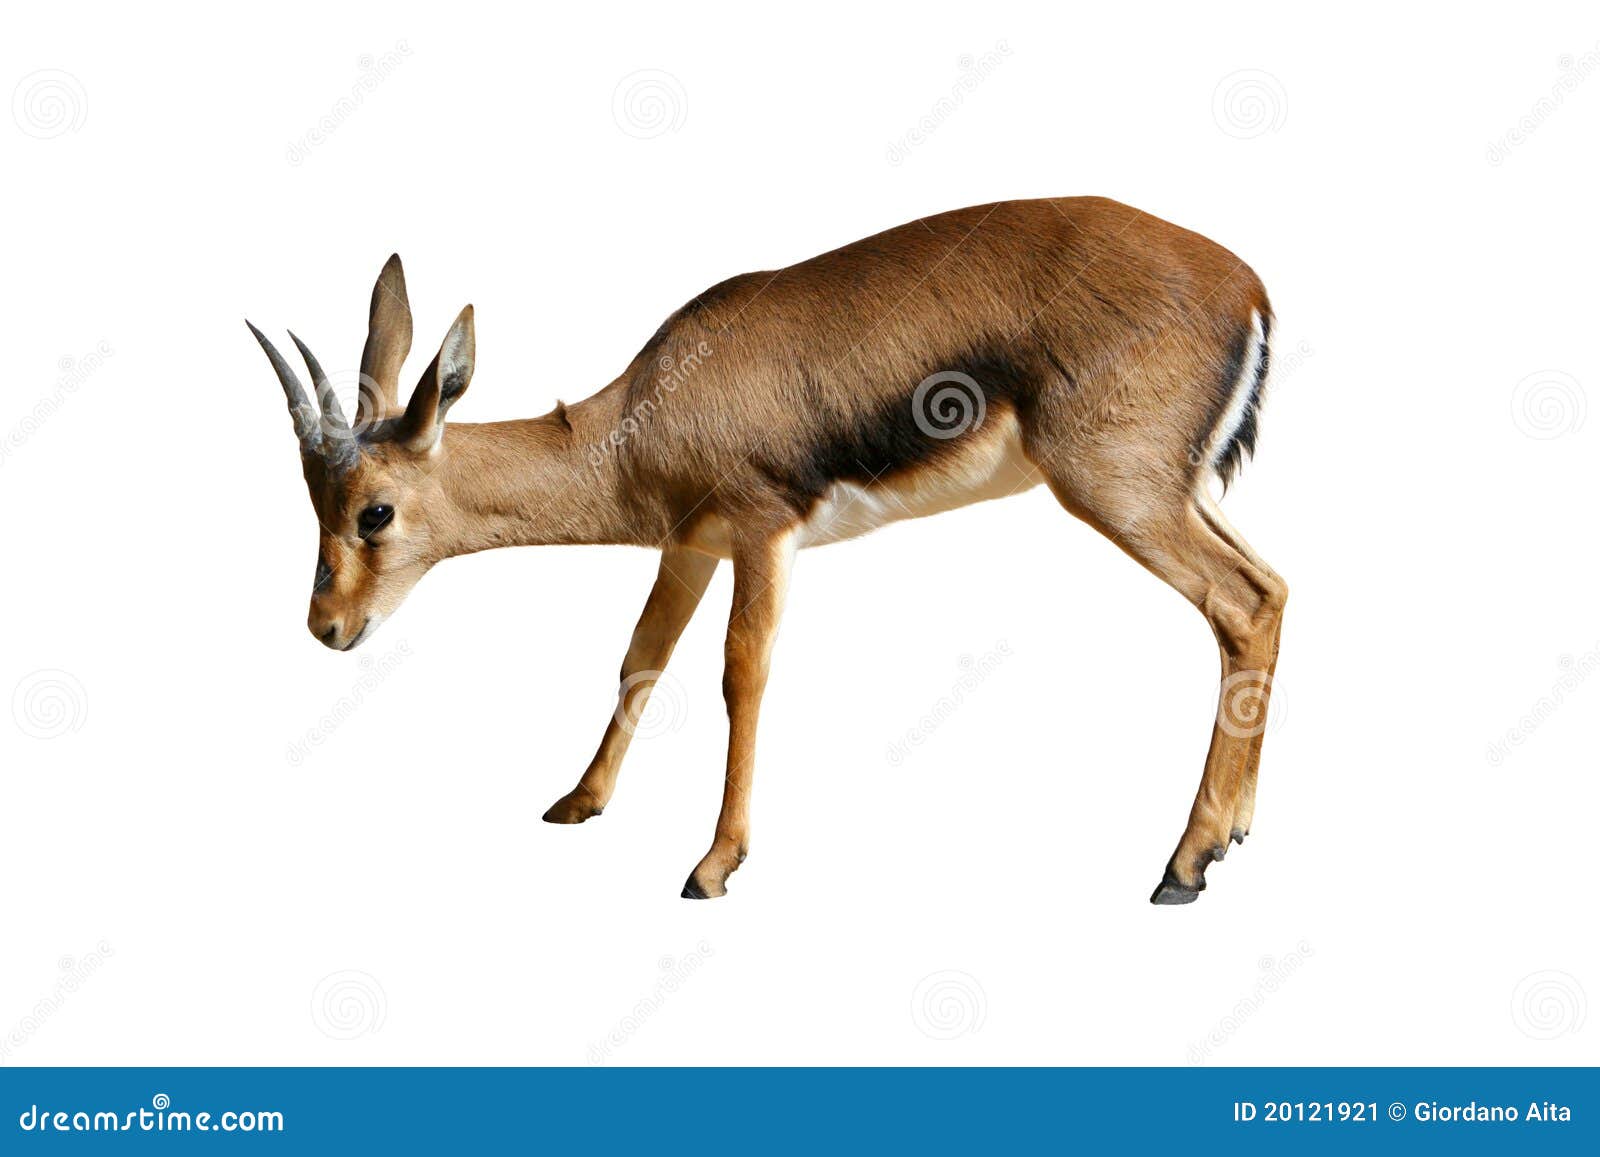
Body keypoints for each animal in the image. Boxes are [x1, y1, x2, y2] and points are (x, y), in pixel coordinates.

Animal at [247, 196, 1286, 903]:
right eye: (312, 500)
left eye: (373, 512)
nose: (326, 624)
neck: (638, 415)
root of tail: (1247, 286)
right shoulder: (690, 545)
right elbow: (640, 658)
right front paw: (579, 802)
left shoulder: (762, 530)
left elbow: (740, 672)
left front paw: (712, 863)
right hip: (1178, 494)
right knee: (1271, 591)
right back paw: (1234, 831)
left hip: (1118, 492)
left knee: (1239, 603)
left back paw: (1183, 864)